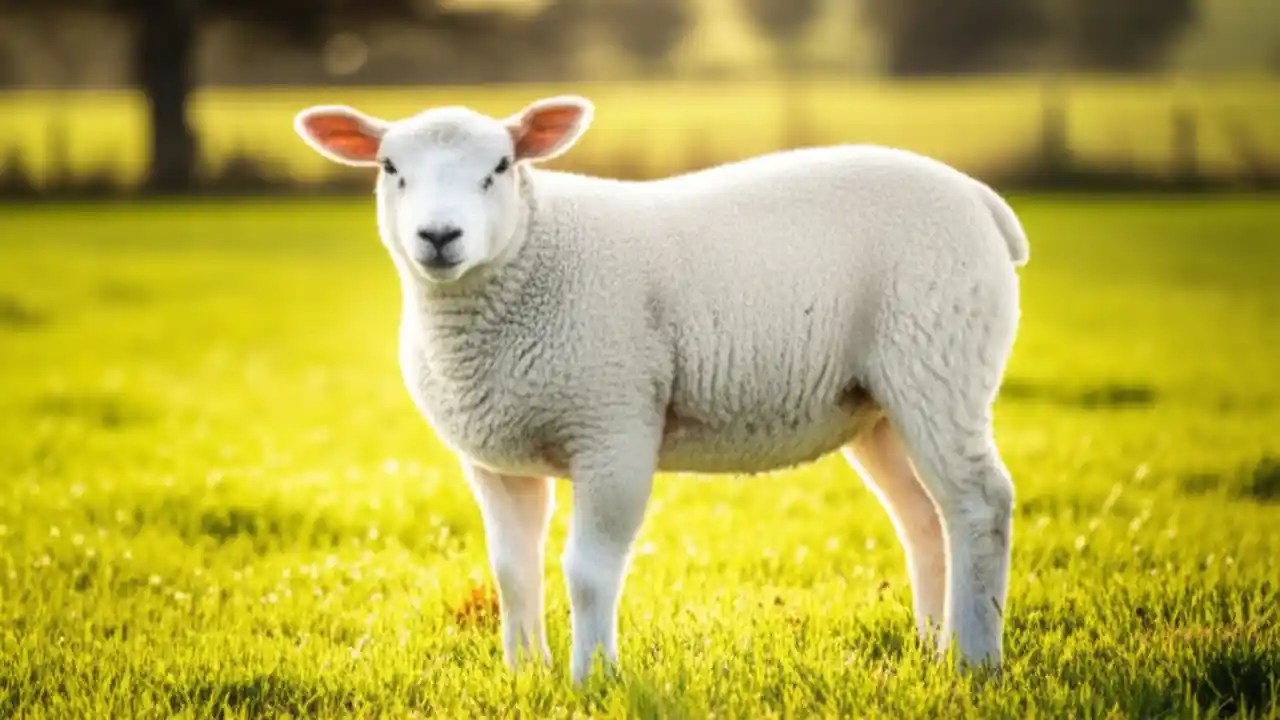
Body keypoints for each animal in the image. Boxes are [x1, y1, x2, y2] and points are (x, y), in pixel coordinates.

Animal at [294, 95, 1029, 683]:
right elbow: (512, 572)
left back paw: (974, 661)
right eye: (391, 169)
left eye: (500, 167)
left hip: (939, 357)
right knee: (924, 518)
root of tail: (977, 196)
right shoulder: (496, 456)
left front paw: (591, 679)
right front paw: (524, 673)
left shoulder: (613, 425)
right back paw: (934, 648)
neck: (529, 255)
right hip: (880, 404)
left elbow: (588, 571)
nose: (439, 236)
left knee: (979, 504)